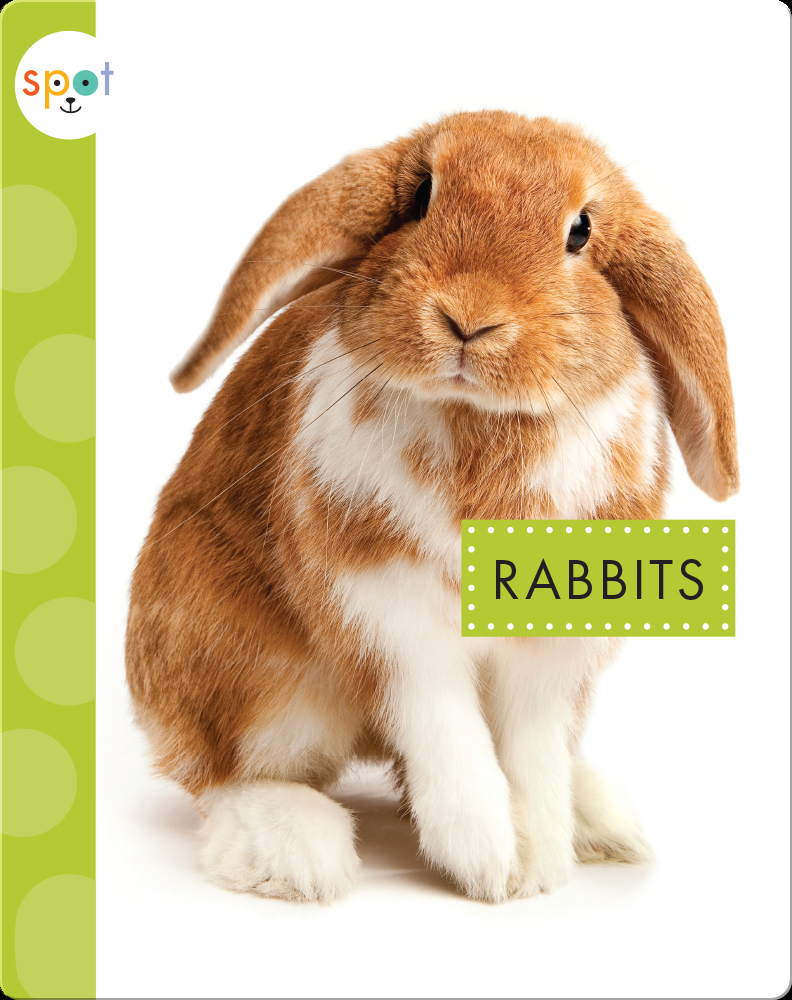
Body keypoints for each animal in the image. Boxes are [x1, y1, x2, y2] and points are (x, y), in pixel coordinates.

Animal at [126, 111, 738, 903]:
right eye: (420, 197)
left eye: (580, 232)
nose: (469, 317)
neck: (477, 418)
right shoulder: (392, 619)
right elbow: (449, 734)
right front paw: (488, 859)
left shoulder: (554, 653)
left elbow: (531, 752)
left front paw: (536, 862)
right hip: (253, 669)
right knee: (225, 773)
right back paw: (294, 849)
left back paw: (600, 822)